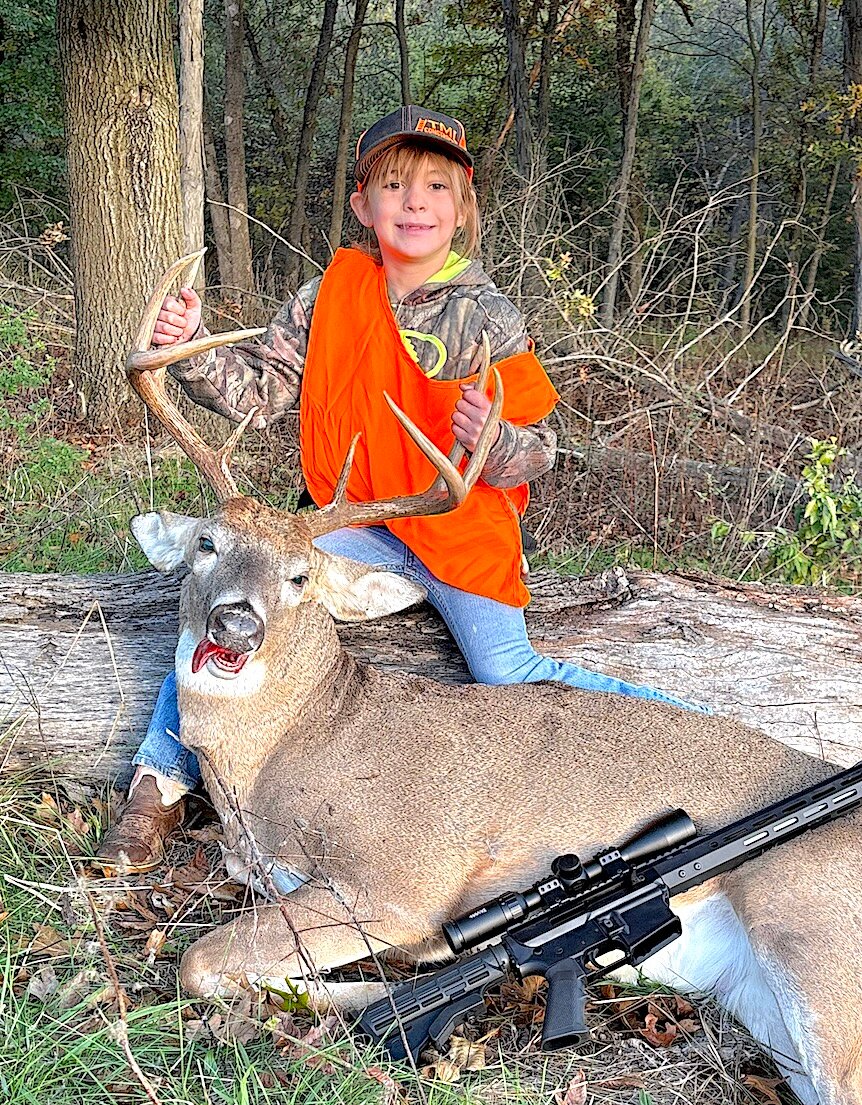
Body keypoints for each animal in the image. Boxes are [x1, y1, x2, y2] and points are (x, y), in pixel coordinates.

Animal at [126, 254, 862, 1105]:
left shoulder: (399, 879)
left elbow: (199, 959)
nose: (235, 625)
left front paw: (392, 994)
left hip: (812, 930)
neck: (279, 756)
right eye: (206, 544)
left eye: (300, 576)